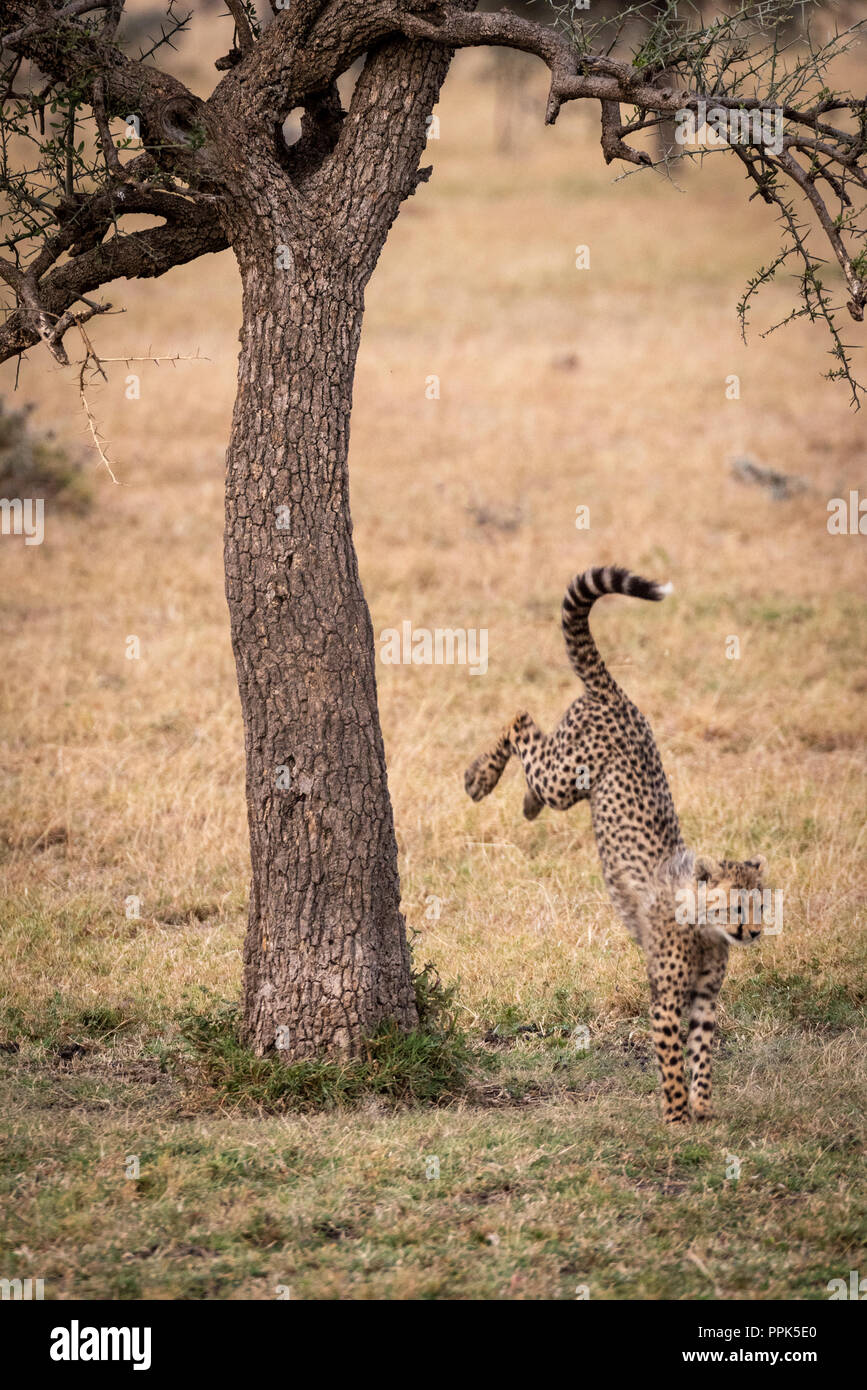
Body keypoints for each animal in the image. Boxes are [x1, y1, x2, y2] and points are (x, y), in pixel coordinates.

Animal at [464, 564, 768, 1123]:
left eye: (761, 904)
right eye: (737, 904)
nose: (753, 933)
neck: (706, 927)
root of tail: (615, 693)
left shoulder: (704, 999)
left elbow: (703, 1054)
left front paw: (704, 1109)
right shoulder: (667, 999)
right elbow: (673, 1058)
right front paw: (677, 1117)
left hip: (569, 779)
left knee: (532, 751)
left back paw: (524, 803)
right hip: (567, 774)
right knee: (519, 719)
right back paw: (478, 778)